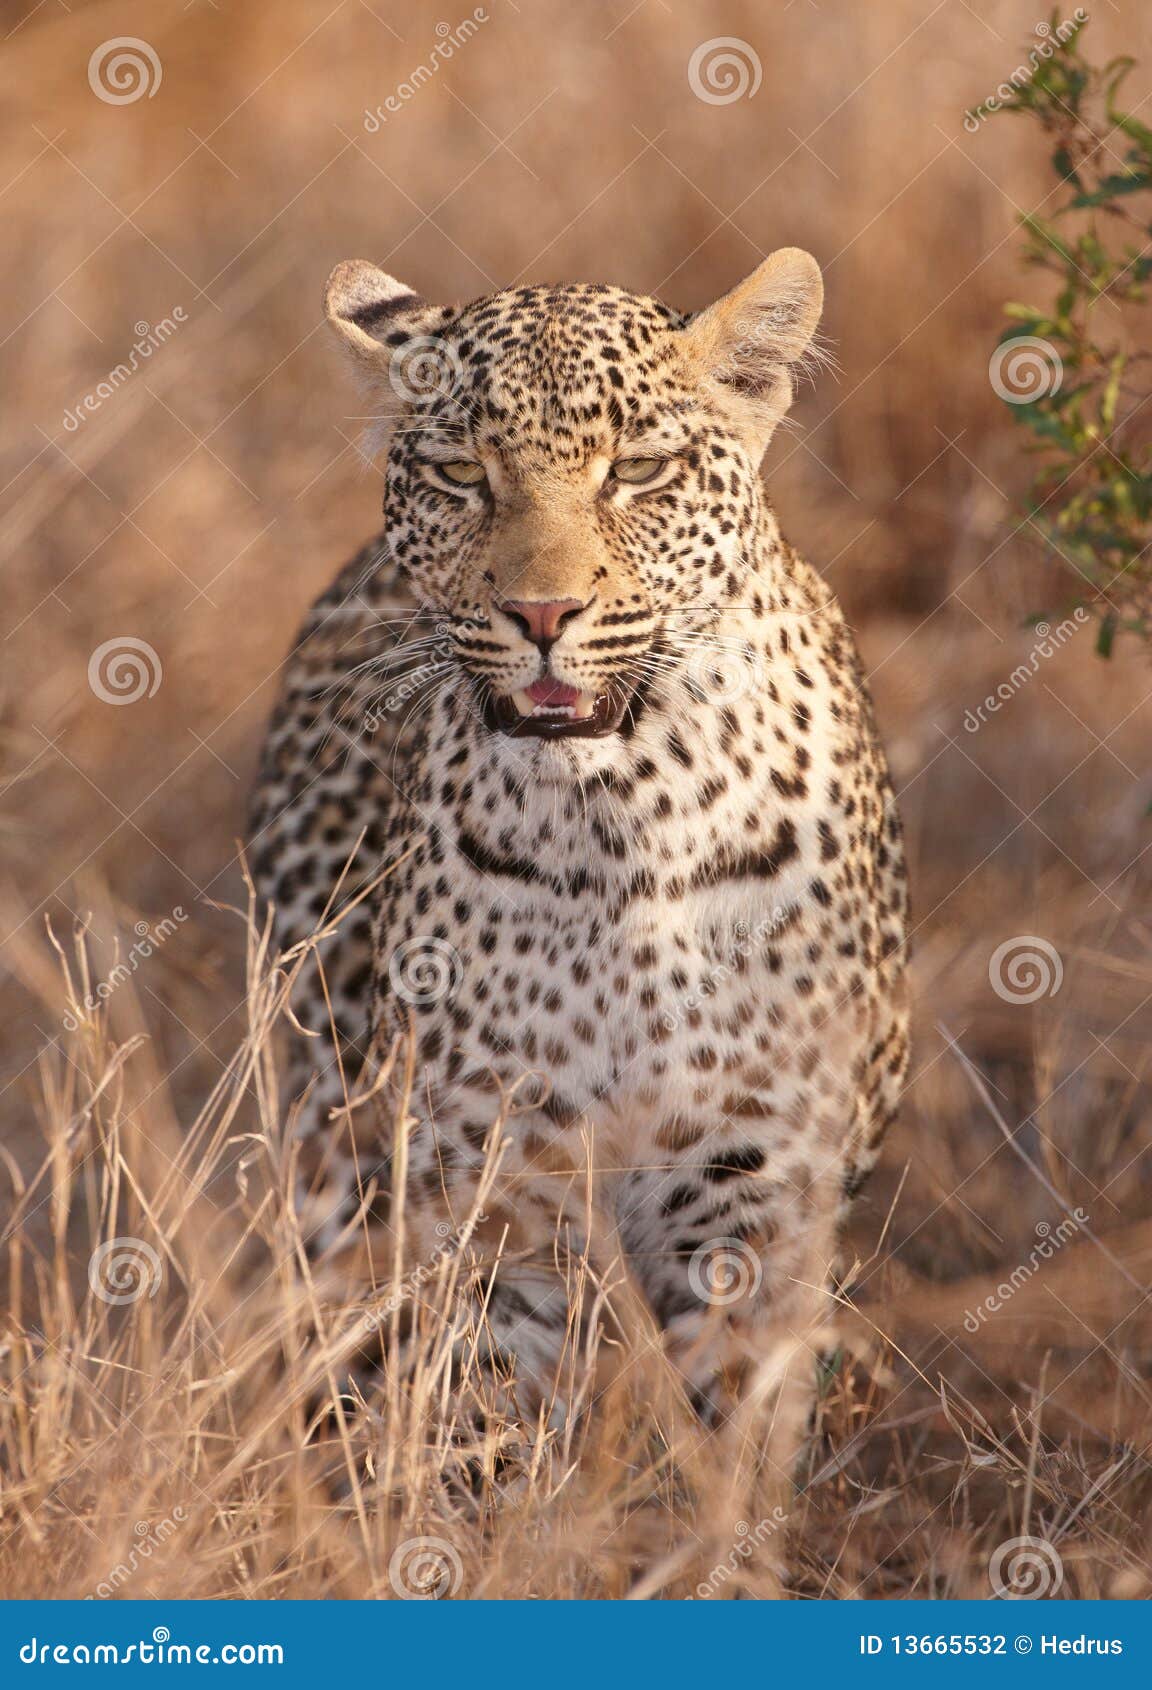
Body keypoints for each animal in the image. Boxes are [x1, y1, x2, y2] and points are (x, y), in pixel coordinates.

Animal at [248, 248, 909, 1486]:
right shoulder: (499, 1175)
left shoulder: (752, 1173)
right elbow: (500, 1401)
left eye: (638, 470)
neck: (621, 817)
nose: (542, 611)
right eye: (462, 474)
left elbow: (734, 1413)